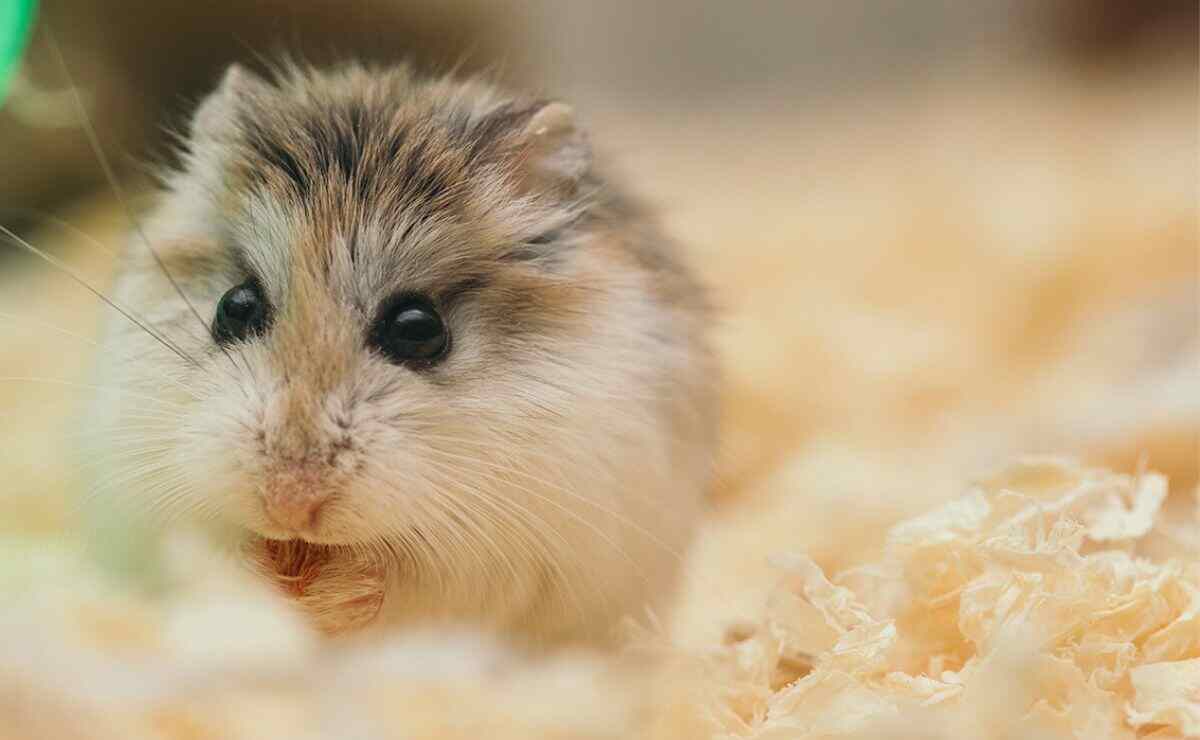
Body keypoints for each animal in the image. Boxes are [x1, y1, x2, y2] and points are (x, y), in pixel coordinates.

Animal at [89, 61, 717, 646]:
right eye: (234, 306)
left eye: (418, 329)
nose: (289, 506)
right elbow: (204, 552)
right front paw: (266, 578)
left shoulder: (510, 552)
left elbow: (405, 584)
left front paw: (329, 595)